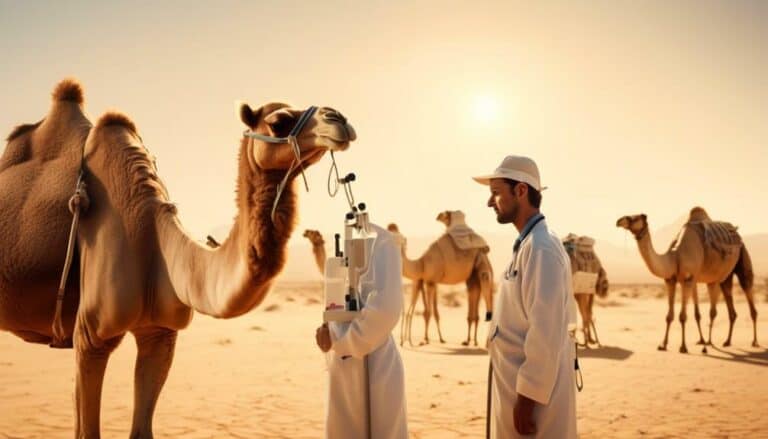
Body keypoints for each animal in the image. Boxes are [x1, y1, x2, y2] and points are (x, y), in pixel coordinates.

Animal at [0, 79, 355, 438]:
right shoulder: (91, 337)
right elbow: (87, 430)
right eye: (279, 121)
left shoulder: (160, 332)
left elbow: (142, 430)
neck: (151, 236)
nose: (338, 118)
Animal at [389, 210, 494, 347]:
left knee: (486, 287)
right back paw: (470, 341)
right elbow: (430, 312)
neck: (421, 264)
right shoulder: (430, 281)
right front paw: (429, 339)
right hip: (472, 274)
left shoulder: (430, 282)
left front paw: (425, 339)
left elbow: (427, 312)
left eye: (399, 237)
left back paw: (483, 342)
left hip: (482, 260)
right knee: (474, 291)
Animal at [617, 207, 758, 354]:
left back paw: (752, 342)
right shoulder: (671, 281)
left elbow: (682, 316)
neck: (674, 257)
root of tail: (736, 233)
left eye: (635, 218)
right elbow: (670, 316)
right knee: (729, 305)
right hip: (724, 277)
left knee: (747, 292)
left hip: (743, 255)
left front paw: (683, 347)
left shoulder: (688, 280)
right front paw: (663, 345)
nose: (618, 221)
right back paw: (725, 341)